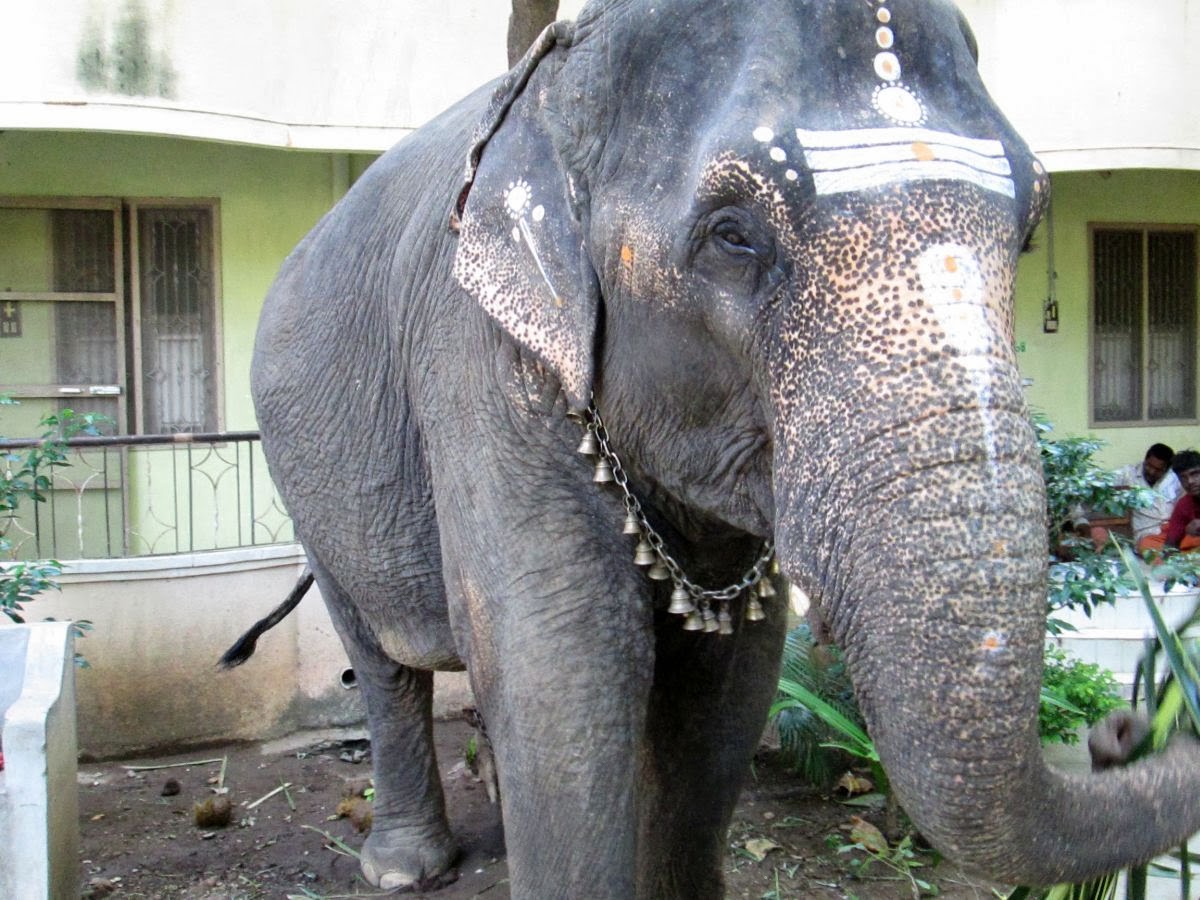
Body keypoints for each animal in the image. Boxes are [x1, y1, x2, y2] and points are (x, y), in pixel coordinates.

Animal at [249, 0, 1200, 896]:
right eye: (733, 235)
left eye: (1032, 232)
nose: (1129, 731)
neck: (560, 78)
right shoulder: (480, 364)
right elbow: (563, 665)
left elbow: (732, 676)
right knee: (378, 657)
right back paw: (405, 867)